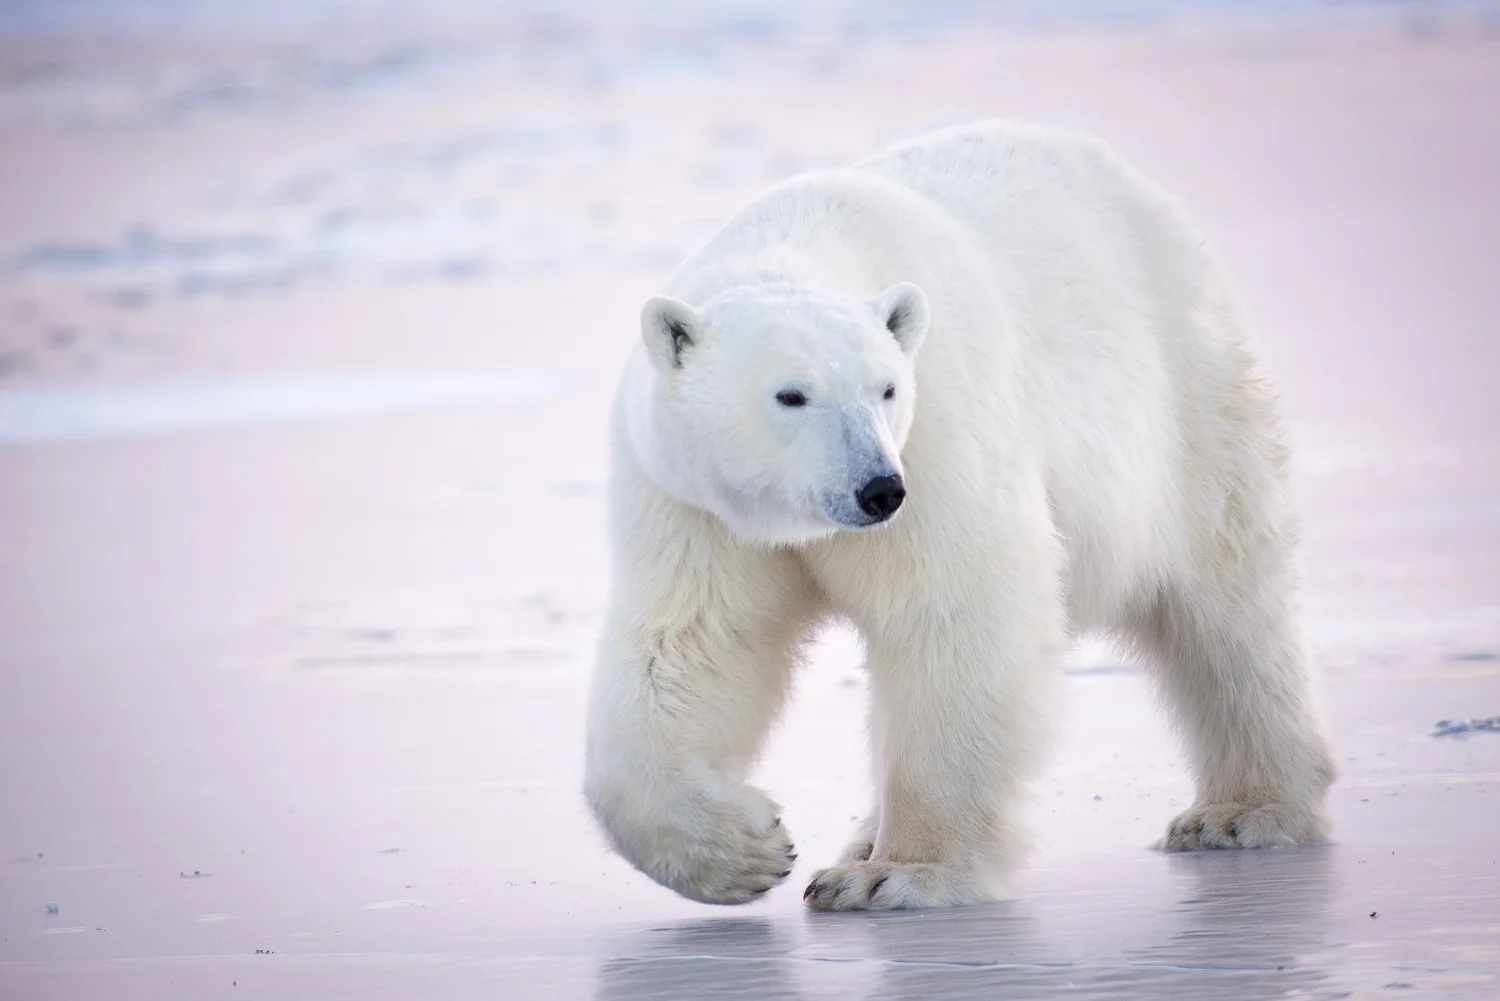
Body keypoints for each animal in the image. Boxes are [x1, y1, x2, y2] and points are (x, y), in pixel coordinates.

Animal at [584, 120, 1336, 911]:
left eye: (886, 388)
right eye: (791, 394)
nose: (878, 489)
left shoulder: (939, 434)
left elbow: (957, 616)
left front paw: (895, 873)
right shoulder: (693, 505)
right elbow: (691, 644)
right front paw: (748, 850)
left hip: (1184, 398)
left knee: (1226, 605)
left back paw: (1242, 811)